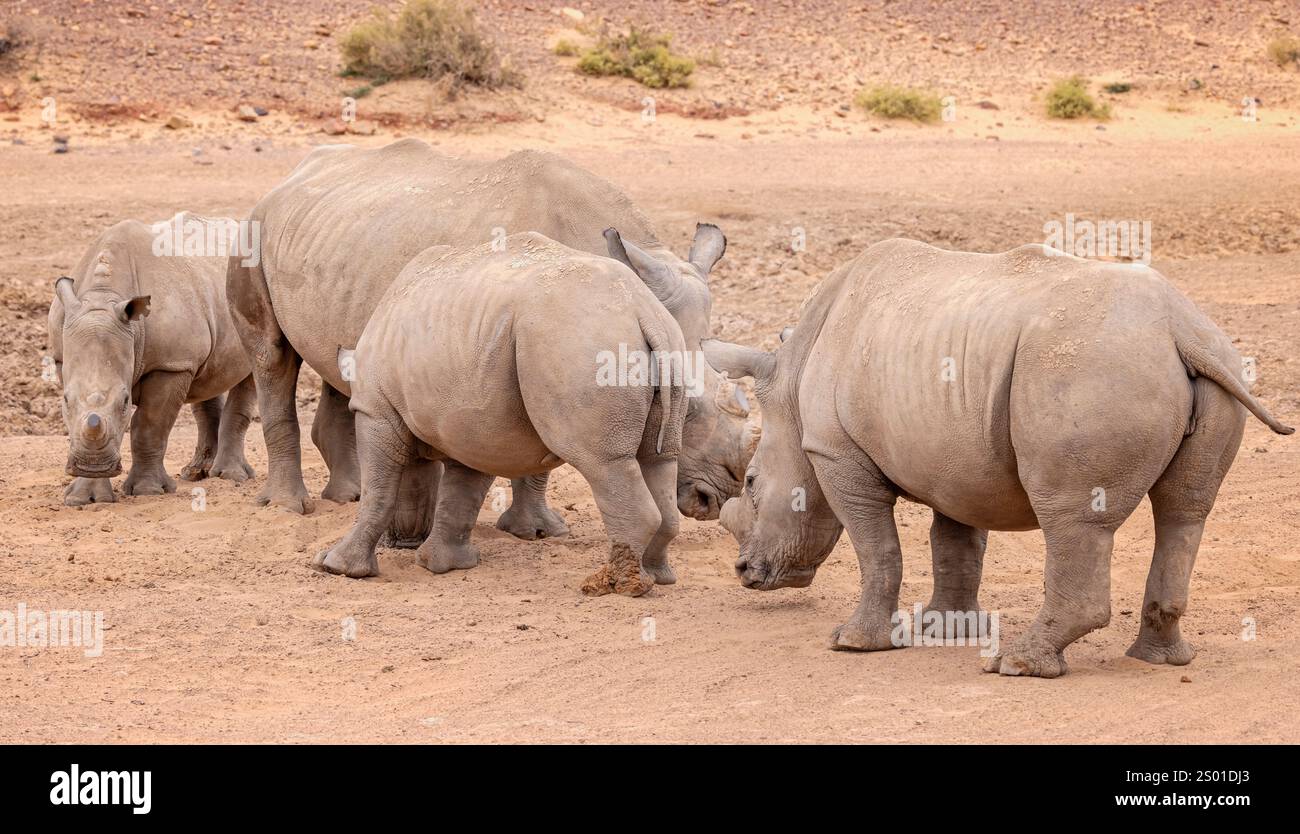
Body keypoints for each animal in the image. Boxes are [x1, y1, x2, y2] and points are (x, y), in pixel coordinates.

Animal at [48, 215, 256, 505]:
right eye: (64, 401)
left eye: (125, 402)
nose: (93, 465)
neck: (102, 296)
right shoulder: (62, 358)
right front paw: (85, 498)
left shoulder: (171, 364)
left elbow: (149, 424)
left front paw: (148, 490)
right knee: (207, 380)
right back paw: (196, 474)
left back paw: (230, 476)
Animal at [228, 138, 754, 549]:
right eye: (687, 409)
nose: (716, 497)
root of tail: (291, 176)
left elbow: (539, 454)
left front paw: (536, 532)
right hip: (254, 226)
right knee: (272, 355)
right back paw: (288, 506)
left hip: (340, 243)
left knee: (343, 363)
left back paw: (349, 496)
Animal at [318, 231, 691, 596]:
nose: (403, 539)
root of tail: (642, 312)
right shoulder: (472, 423)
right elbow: (461, 495)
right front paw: (444, 565)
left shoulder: (375, 410)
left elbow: (377, 491)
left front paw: (336, 566)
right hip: (659, 343)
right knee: (658, 459)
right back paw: (657, 577)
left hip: (579, 342)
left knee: (603, 463)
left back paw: (616, 587)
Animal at [703, 239, 1293, 678]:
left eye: (751, 482)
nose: (744, 572)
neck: (793, 384)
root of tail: (1181, 330)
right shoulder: (953, 456)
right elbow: (955, 545)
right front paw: (942, 630)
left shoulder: (835, 453)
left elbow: (877, 546)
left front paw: (852, 642)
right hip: (1198, 365)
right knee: (1184, 511)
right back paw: (1160, 659)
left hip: (1087, 369)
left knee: (1073, 517)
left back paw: (1018, 665)